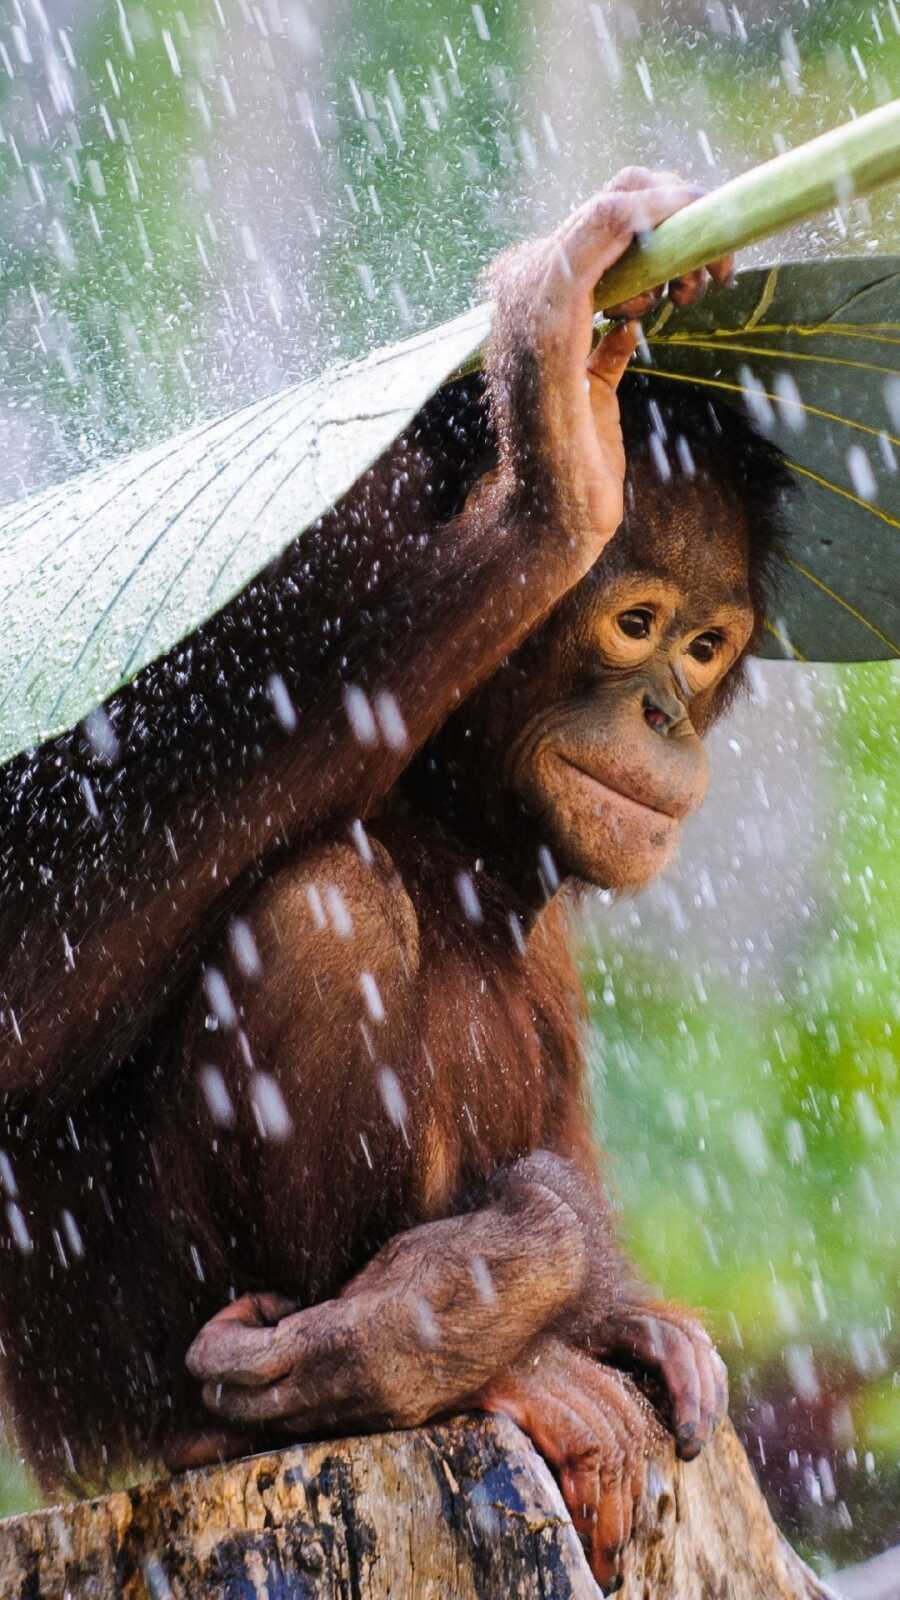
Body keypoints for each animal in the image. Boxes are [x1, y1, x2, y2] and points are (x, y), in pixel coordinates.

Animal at [0, 168, 791, 1589]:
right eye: (636, 622)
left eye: (708, 646)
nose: (665, 710)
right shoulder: (288, 557)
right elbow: (27, 958)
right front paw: (555, 464)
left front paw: (605, 1305)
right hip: (115, 1382)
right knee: (324, 906)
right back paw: (398, 1376)